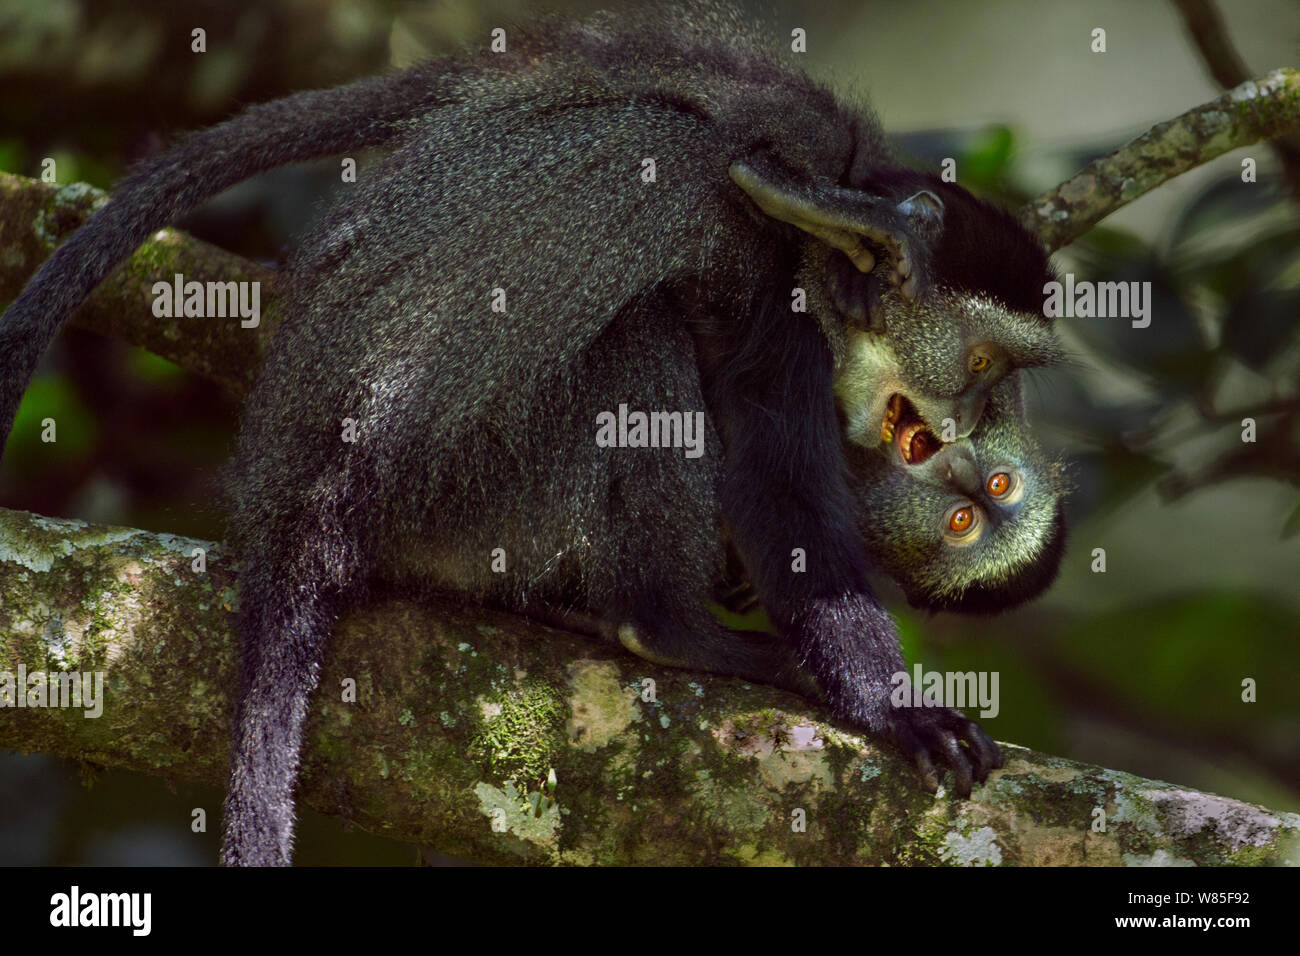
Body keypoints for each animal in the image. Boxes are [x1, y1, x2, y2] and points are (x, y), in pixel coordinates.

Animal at [0, 5, 1067, 864]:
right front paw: (898, 708)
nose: (963, 432)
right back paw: (663, 625)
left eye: (986, 507)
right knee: (640, 324)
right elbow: (784, 492)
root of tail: (298, 512)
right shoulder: (792, 292)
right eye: (981, 365)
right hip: (468, 496)